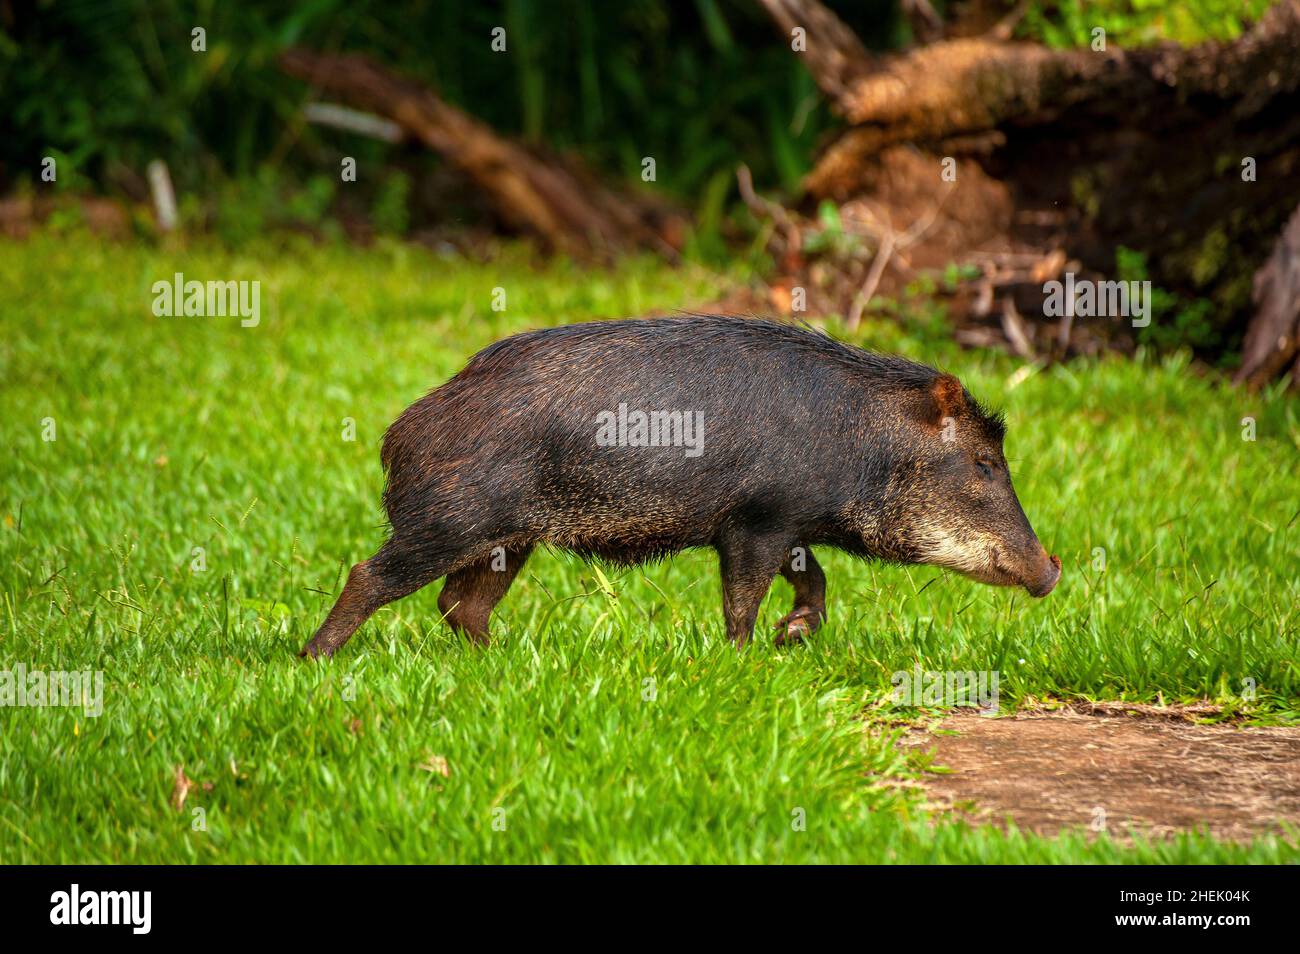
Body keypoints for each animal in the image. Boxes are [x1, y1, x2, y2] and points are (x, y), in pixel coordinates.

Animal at [300, 314, 1059, 658]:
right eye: (986, 464)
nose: (1053, 569)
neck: (864, 441)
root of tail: (398, 435)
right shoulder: (755, 521)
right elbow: (744, 598)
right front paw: (747, 657)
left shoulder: (782, 524)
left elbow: (813, 578)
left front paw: (793, 636)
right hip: (450, 520)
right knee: (369, 575)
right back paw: (313, 660)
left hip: (507, 540)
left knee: (461, 606)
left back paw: (509, 661)